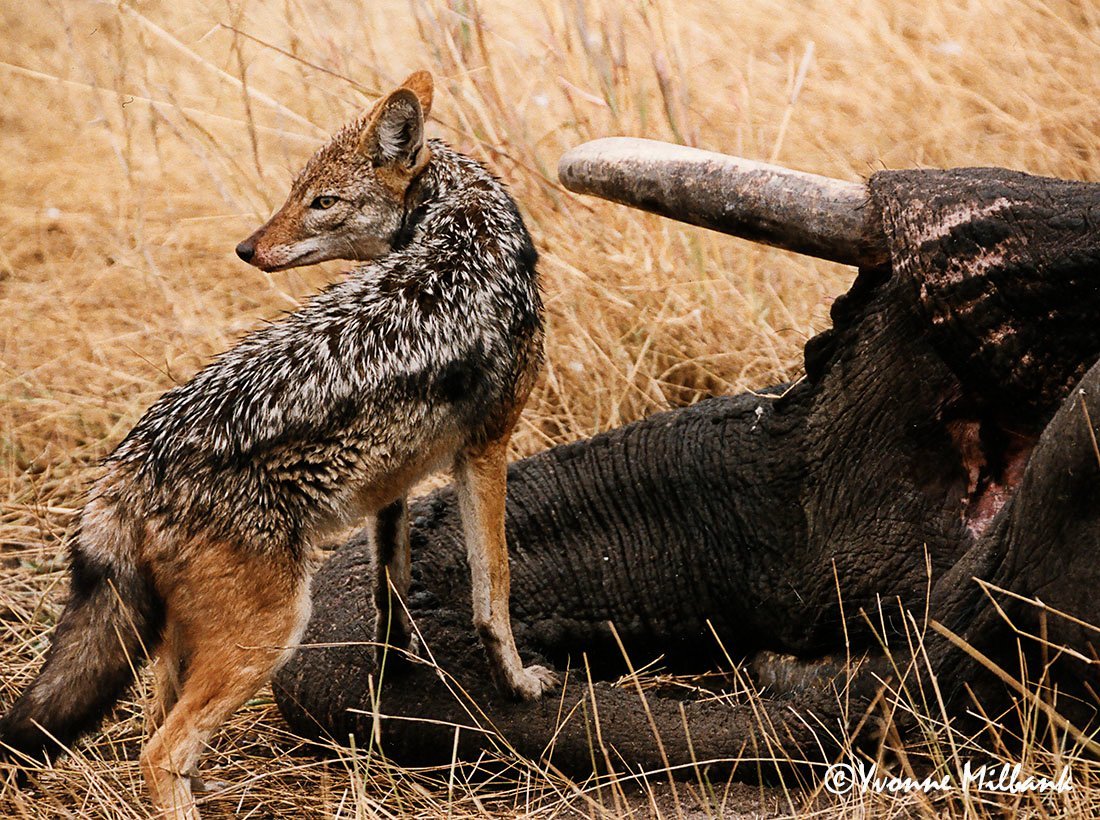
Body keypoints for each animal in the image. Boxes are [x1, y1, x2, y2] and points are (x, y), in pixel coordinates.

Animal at [0, 71, 556, 818]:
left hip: (190, 638)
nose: (246, 248)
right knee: (158, 751)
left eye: (321, 202)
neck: (459, 224)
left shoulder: (394, 488)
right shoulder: (487, 448)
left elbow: (391, 594)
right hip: (270, 632)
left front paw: (392, 683)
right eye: (299, 195)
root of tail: (130, 464)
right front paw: (517, 684)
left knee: (156, 724)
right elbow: (492, 590)